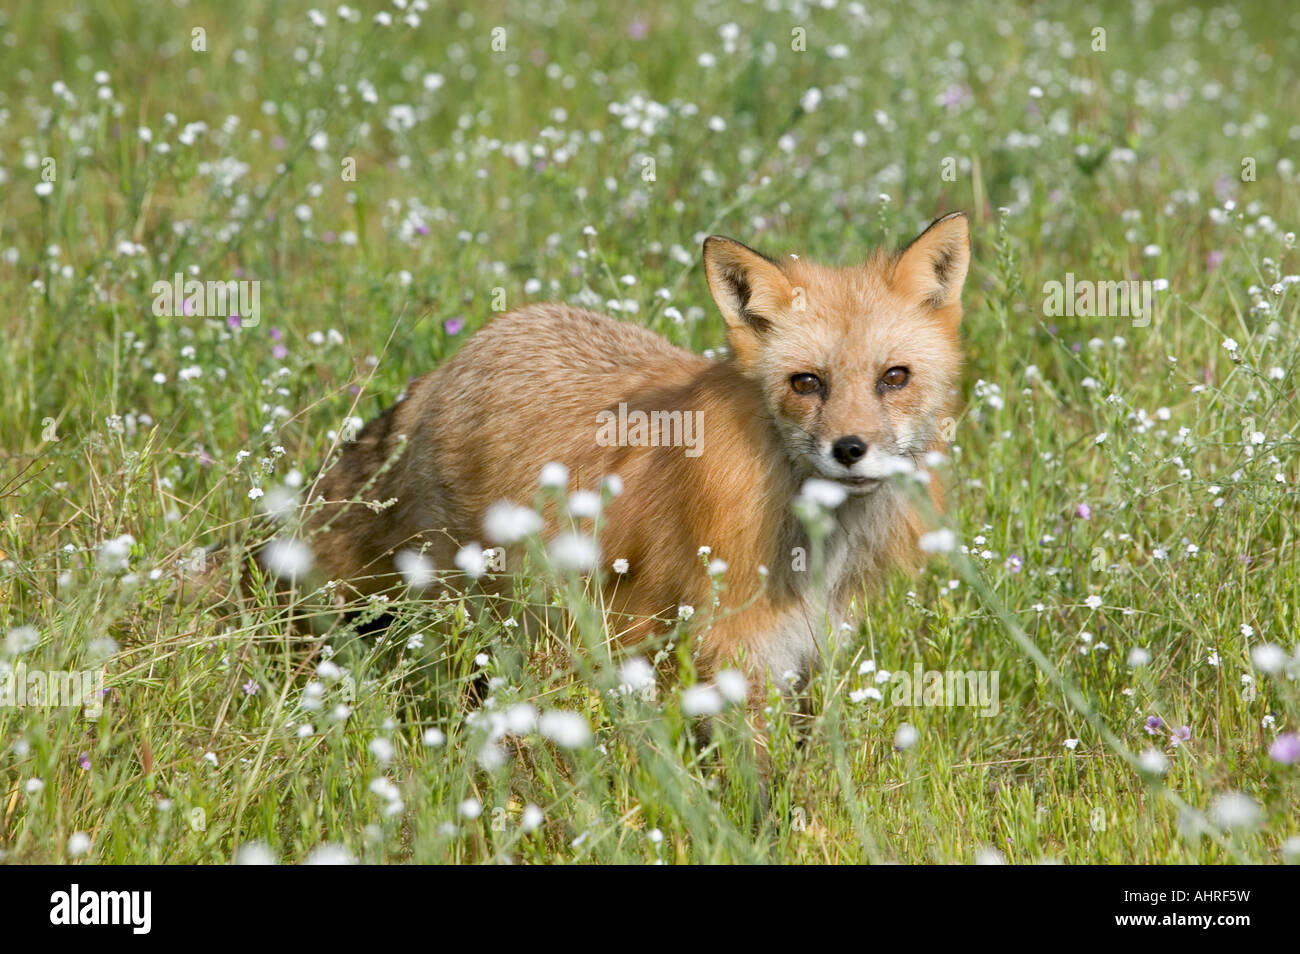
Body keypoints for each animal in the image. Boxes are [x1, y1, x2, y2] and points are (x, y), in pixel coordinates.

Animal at [294, 211, 969, 717]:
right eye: (807, 383)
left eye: (894, 378)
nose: (850, 449)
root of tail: (458, 357)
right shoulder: (717, 648)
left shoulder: (802, 646)